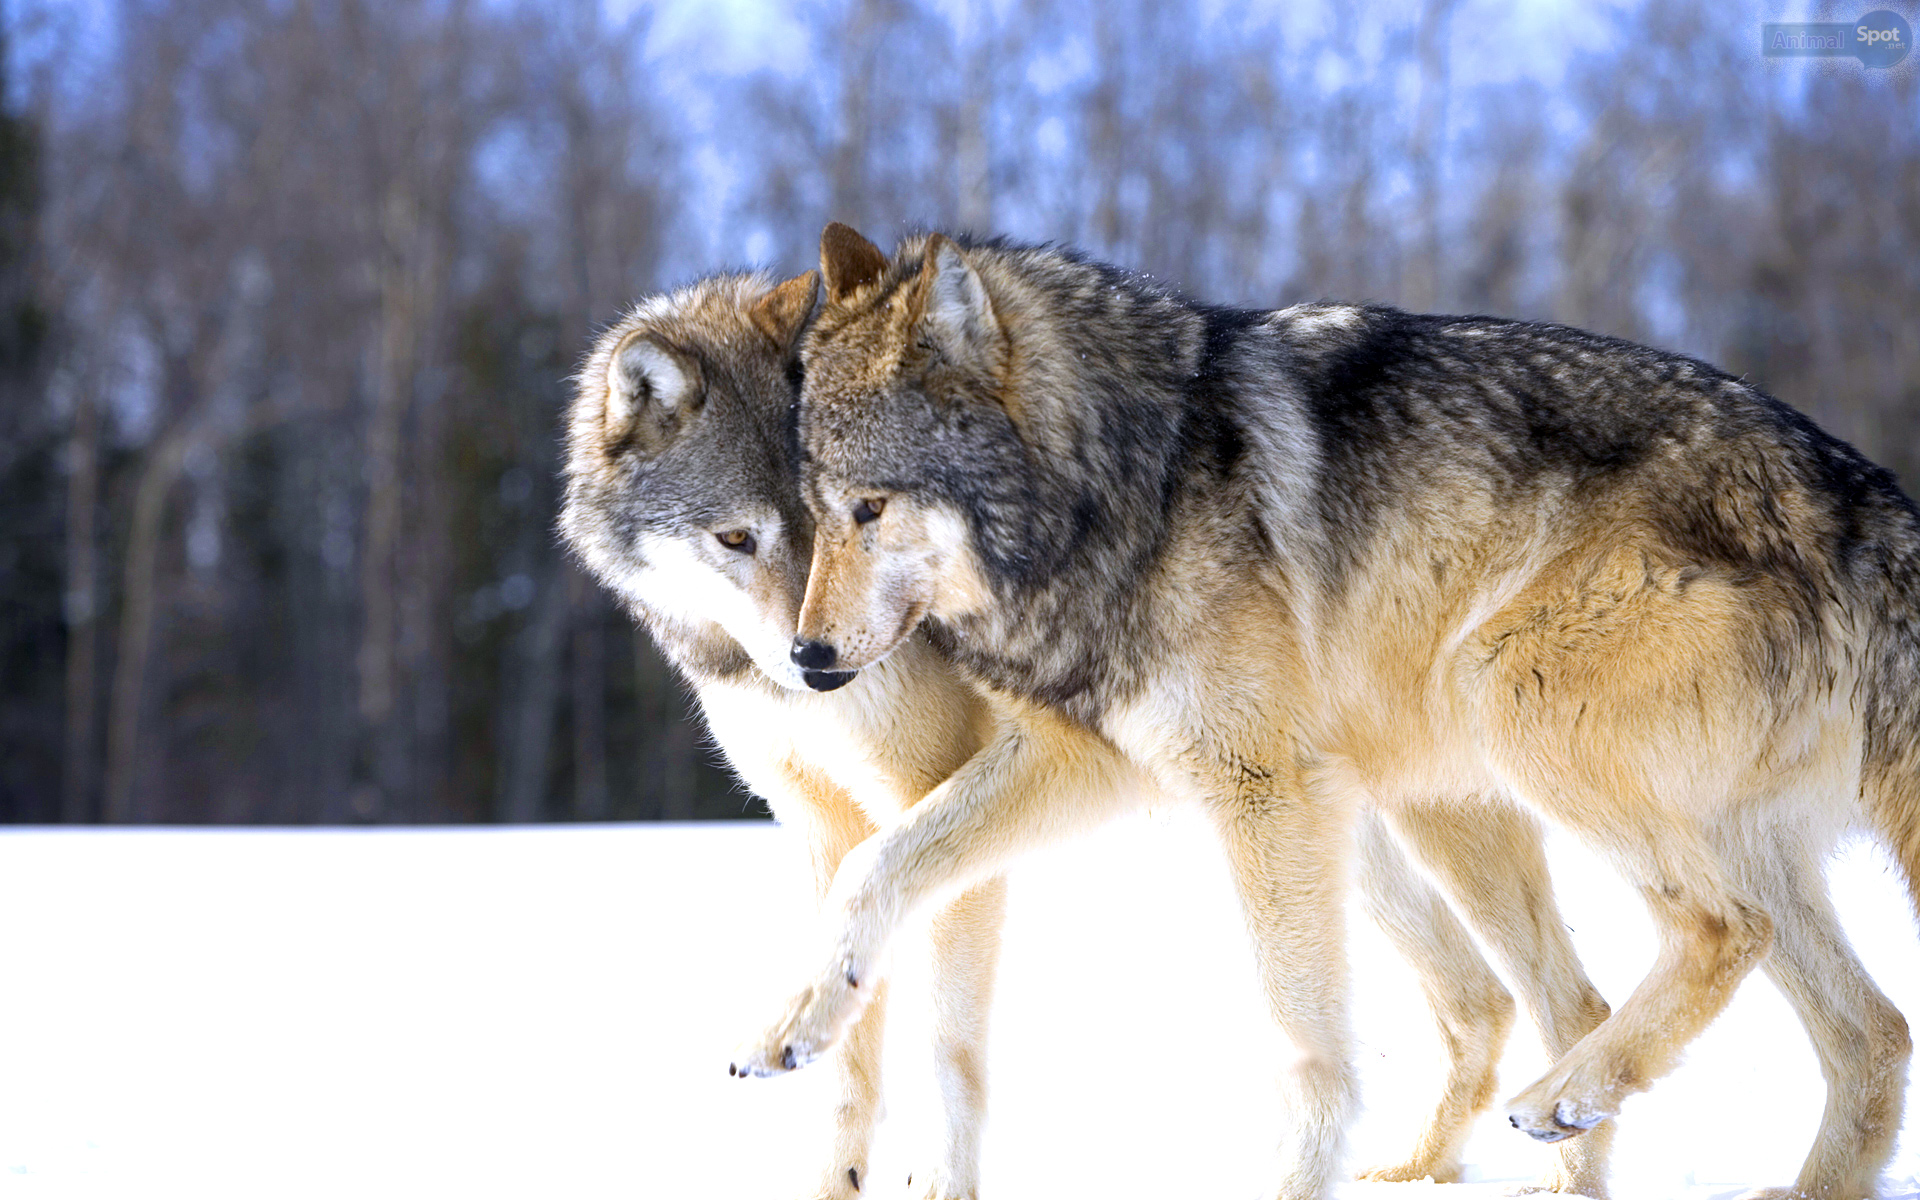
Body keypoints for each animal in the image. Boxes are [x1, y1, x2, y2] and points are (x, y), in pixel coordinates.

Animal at [561, 271, 1617, 1196]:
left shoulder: (962, 796)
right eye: (738, 539)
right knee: (1484, 1000)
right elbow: (847, 1055)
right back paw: (1426, 1172)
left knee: (1539, 997)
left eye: (854, 522)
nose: (816, 664)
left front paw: (941, 1187)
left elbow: (942, 1043)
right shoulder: (826, 828)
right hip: (1343, 833)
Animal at [735, 222, 1920, 1200]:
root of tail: (1860, 494)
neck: (1129, 485)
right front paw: (796, 1020)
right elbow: (875, 861)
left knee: (1723, 933)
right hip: (1477, 804)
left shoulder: (1264, 790)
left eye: (870, 508)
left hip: (1501, 700)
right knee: (1862, 1030)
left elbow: (1306, 1047)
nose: (808, 658)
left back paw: (1566, 1097)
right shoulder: (1097, 763)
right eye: (813, 512)